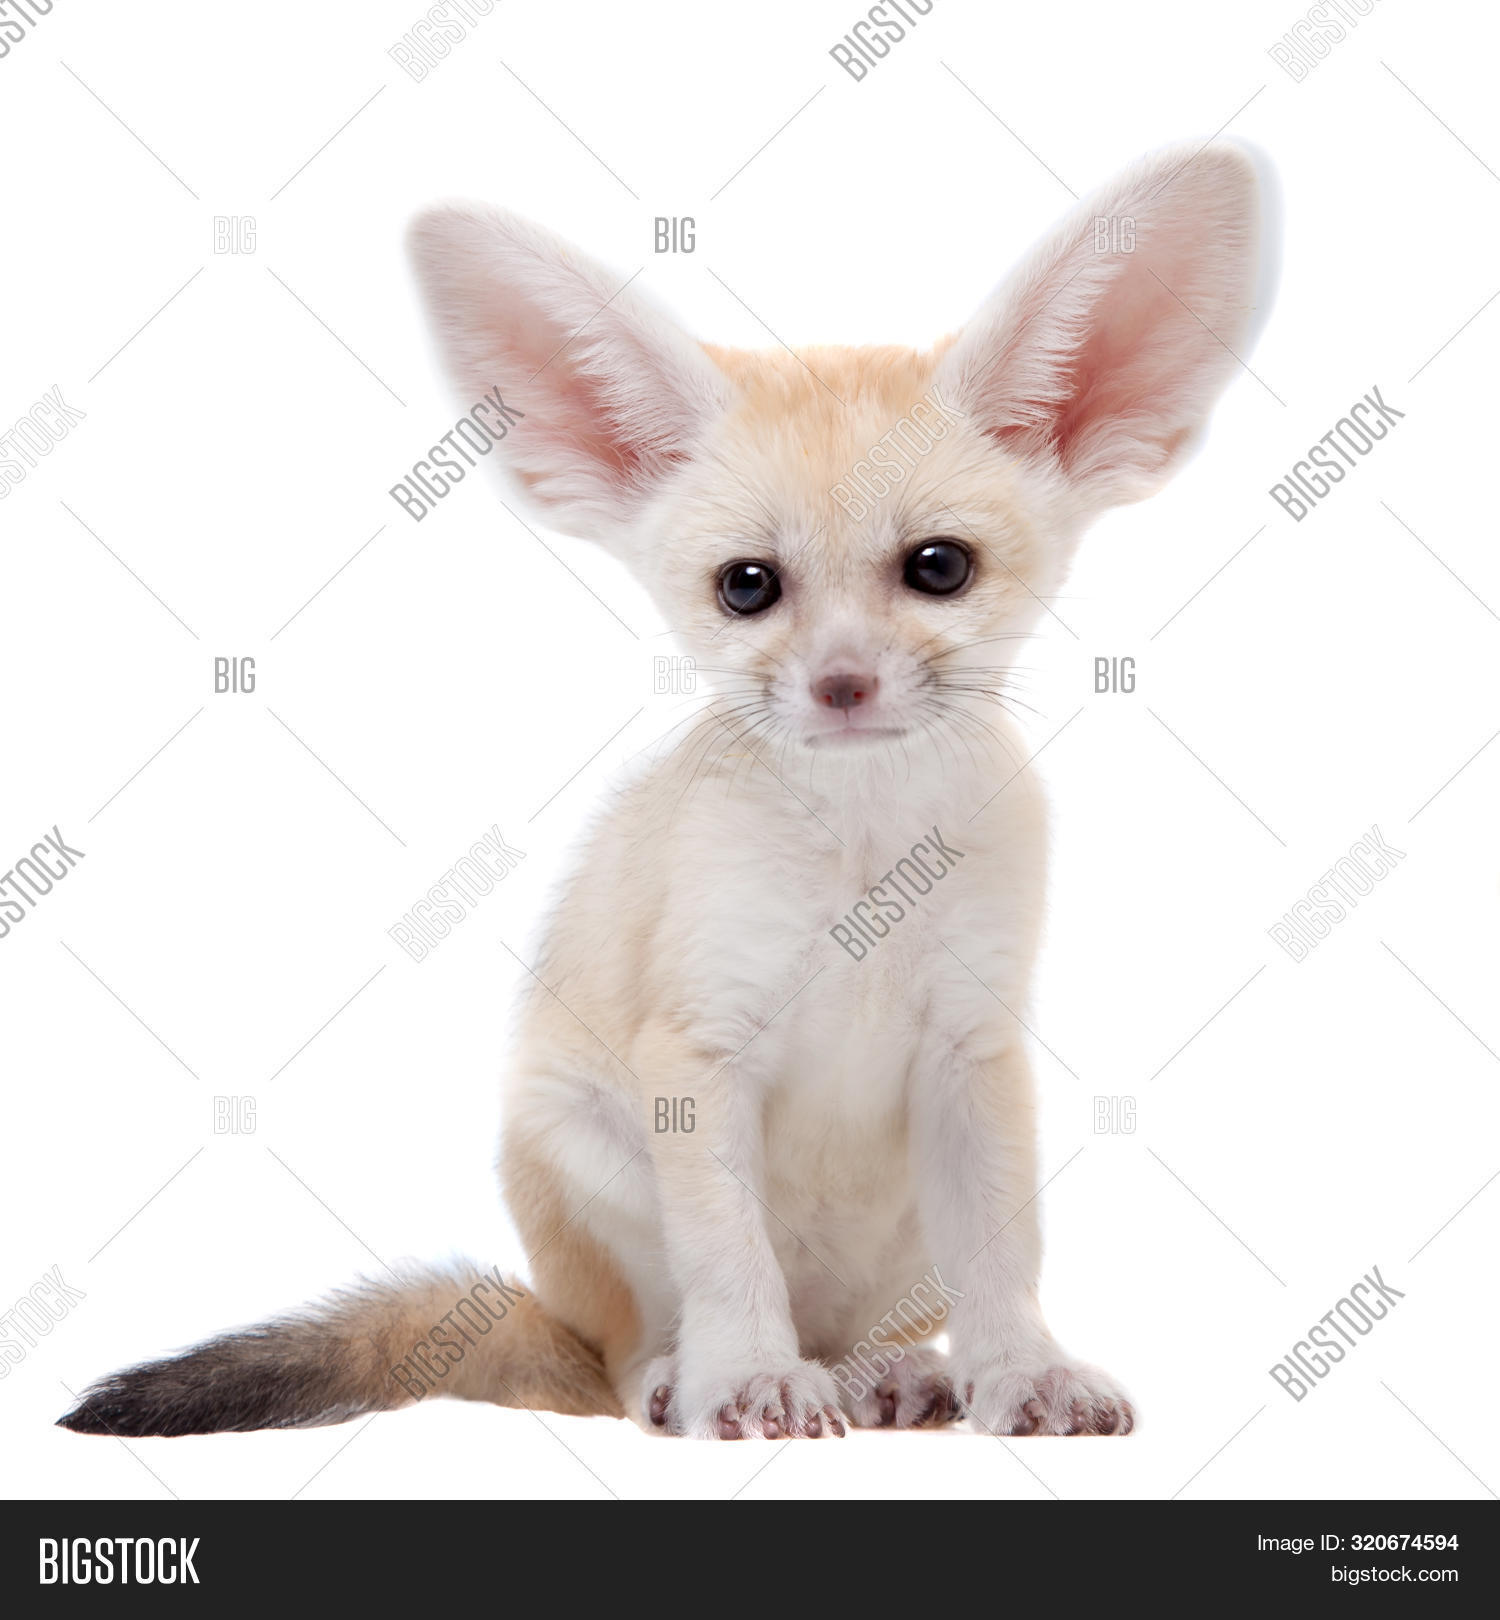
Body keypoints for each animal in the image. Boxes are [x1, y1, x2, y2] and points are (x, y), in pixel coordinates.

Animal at [61, 142, 1267, 1442]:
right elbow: (729, 1254)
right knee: (622, 1349)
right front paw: (745, 1379)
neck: (863, 872)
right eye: (748, 586)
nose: (842, 685)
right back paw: (678, 1382)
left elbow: (1005, 1257)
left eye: (939, 568)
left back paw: (886, 1375)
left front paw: (1023, 1371)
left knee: (852, 1331)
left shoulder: (973, 1053)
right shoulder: (696, 1053)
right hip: (582, 1168)